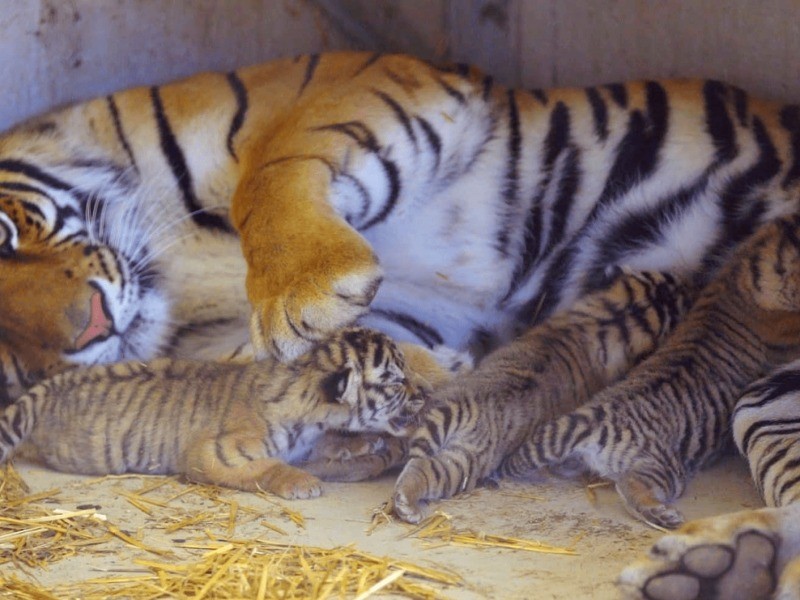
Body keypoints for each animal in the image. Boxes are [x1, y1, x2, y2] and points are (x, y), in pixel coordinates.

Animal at [0, 327, 431, 499]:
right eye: (397, 382)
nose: (426, 393)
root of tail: (48, 385)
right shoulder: (215, 453)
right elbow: (266, 466)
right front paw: (301, 481)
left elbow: (330, 445)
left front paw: (362, 443)